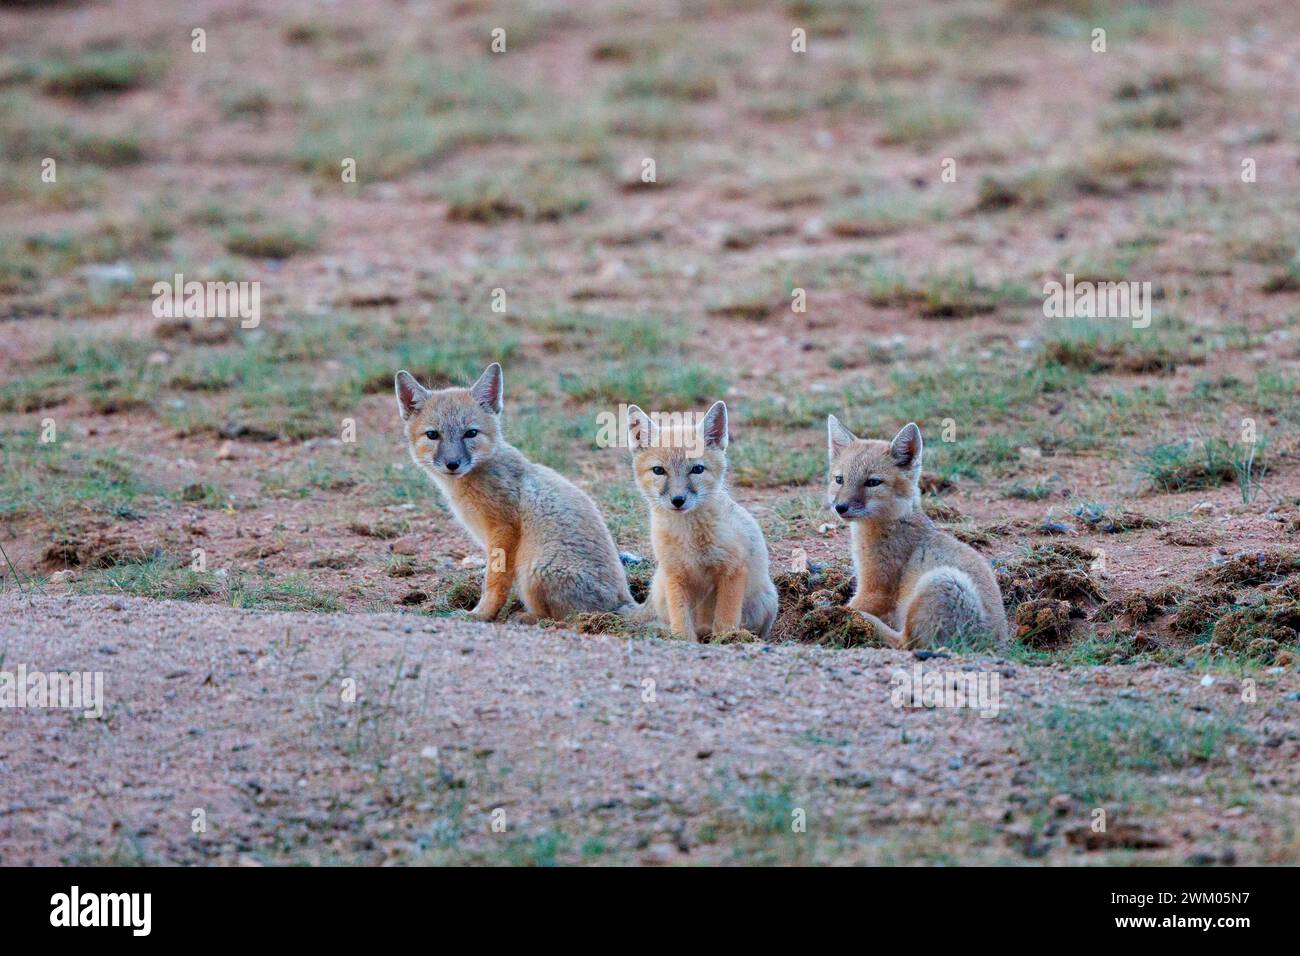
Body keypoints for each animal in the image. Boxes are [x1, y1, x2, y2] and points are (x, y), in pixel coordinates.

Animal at [395, 362, 634, 622]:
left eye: (471, 433)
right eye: (432, 435)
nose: (452, 464)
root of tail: (624, 599)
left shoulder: (504, 528)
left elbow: (495, 582)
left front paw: (482, 613)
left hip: (533, 570)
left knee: (559, 617)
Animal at [626, 400, 778, 641]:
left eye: (697, 469)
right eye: (659, 470)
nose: (678, 500)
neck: (688, 536)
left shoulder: (733, 570)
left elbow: (725, 620)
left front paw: (726, 641)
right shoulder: (674, 574)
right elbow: (681, 622)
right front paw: (683, 642)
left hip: (767, 600)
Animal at [826, 417, 1008, 649]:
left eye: (873, 482)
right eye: (840, 479)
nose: (840, 507)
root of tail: (999, 645)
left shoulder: (876, 590)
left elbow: (851, 605)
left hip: (941, 581)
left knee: (904, 643)